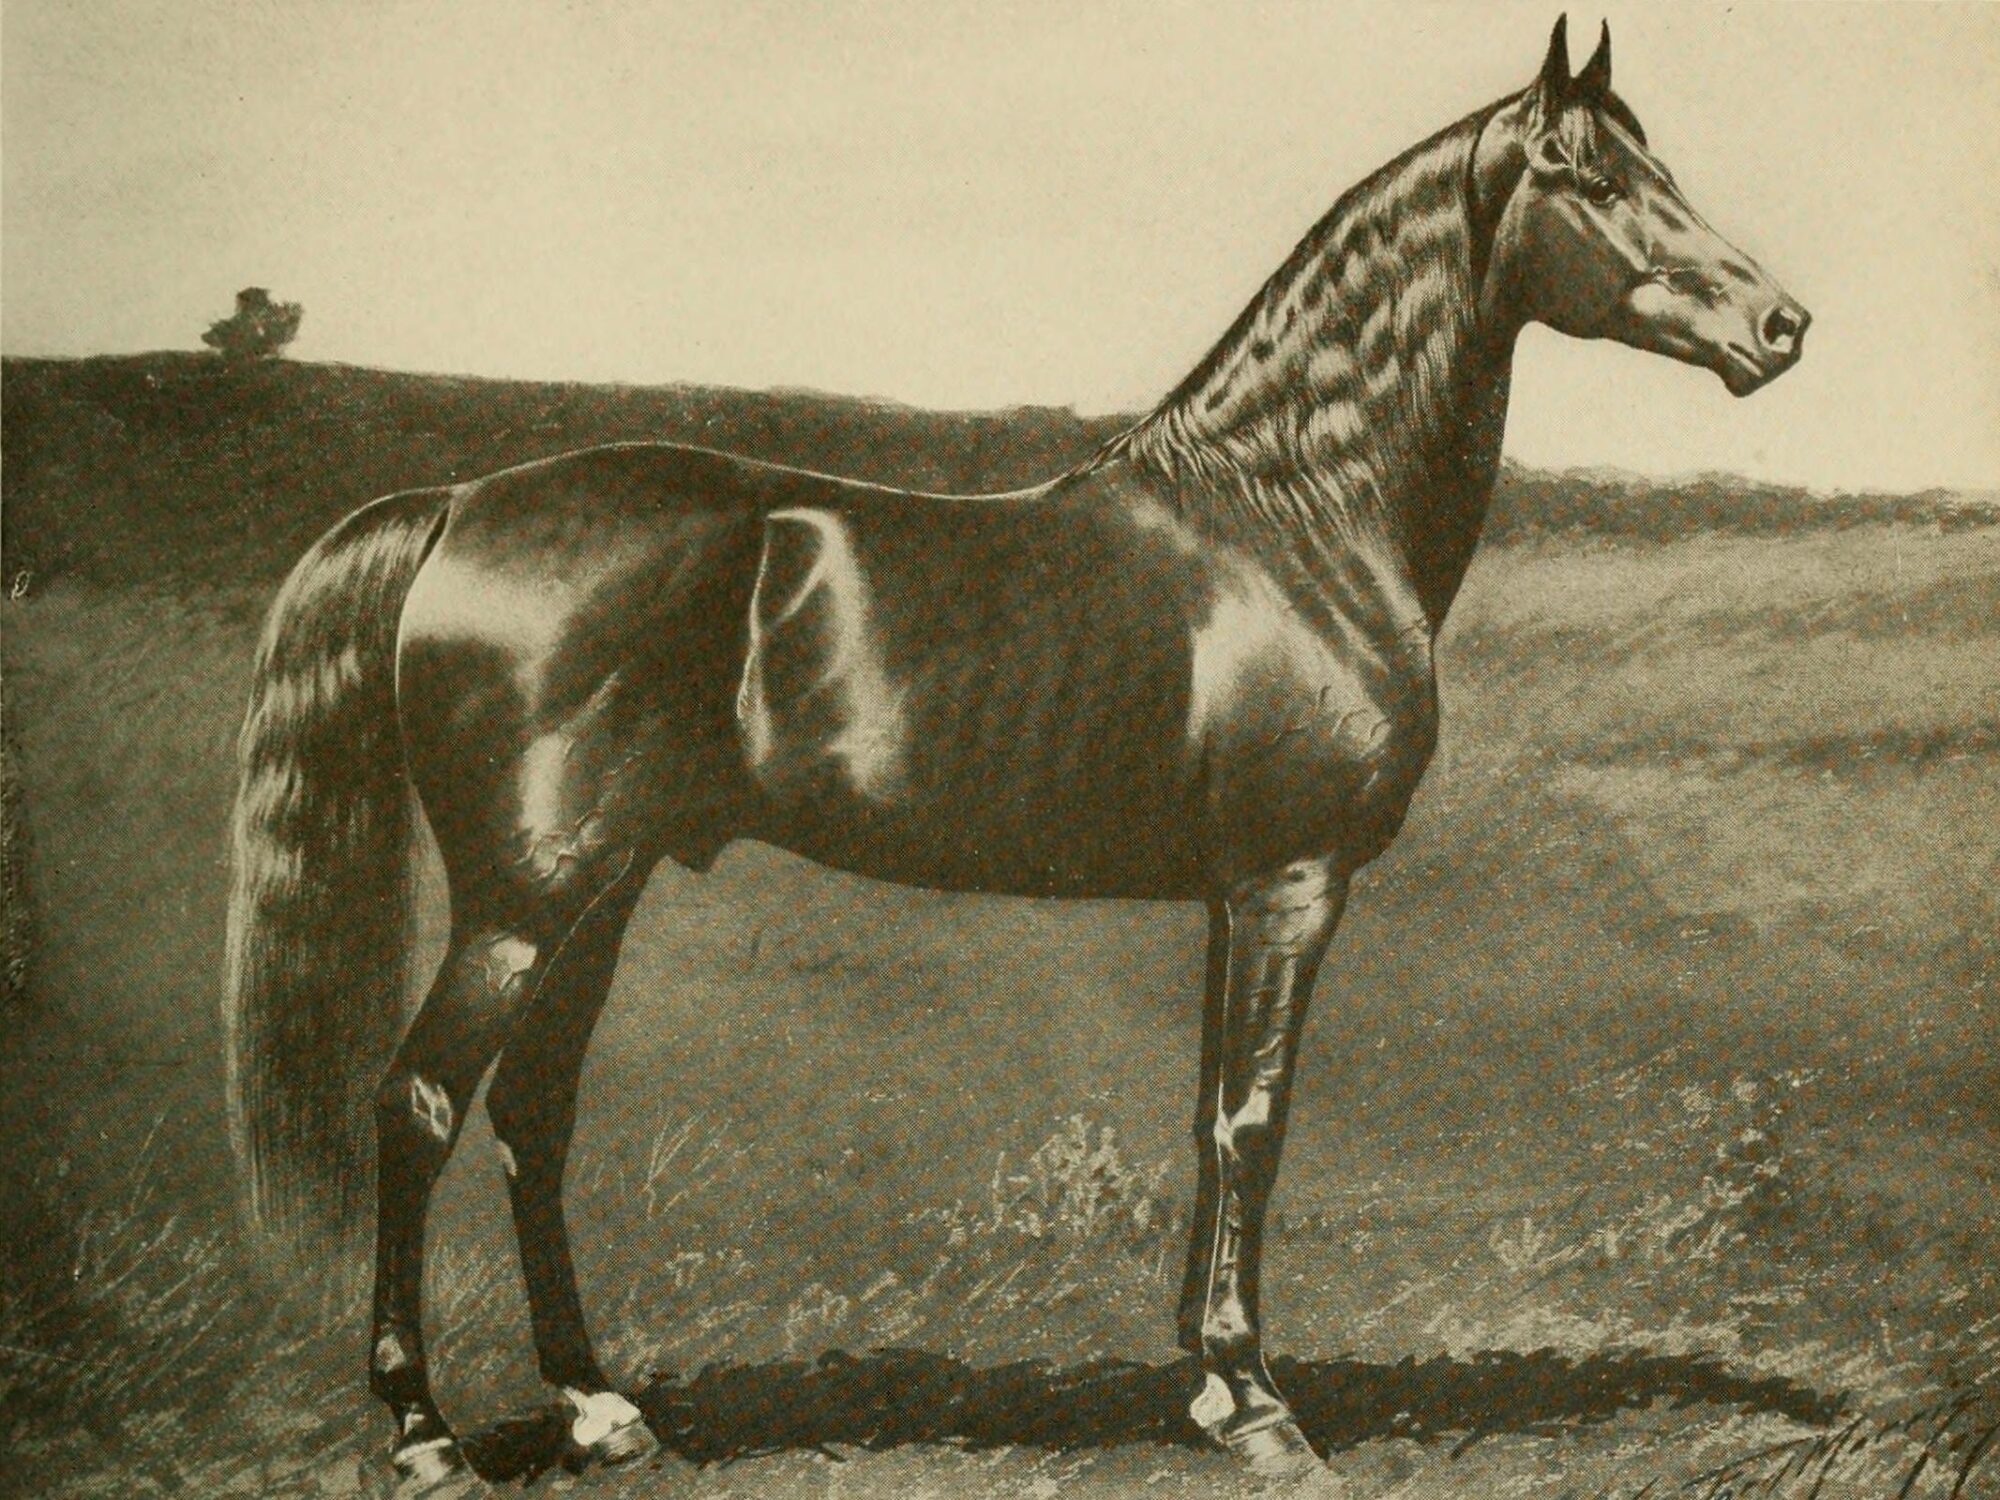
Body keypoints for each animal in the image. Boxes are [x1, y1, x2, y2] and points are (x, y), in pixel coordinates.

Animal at [223, 16, 1808, 1488]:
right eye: (1591, 179)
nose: (1780, 325)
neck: (1291, 521)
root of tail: (457, 506)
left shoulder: (1232, 895)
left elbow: (1206, 1117)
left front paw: (1209, 1387)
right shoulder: (1291, 885)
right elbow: (1254, 1121)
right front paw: (1264, 1410)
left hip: (596, 893)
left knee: (531, 1116)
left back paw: (600, 1411)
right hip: (523, 901)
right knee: (419, 1106)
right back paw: (423, 1432)